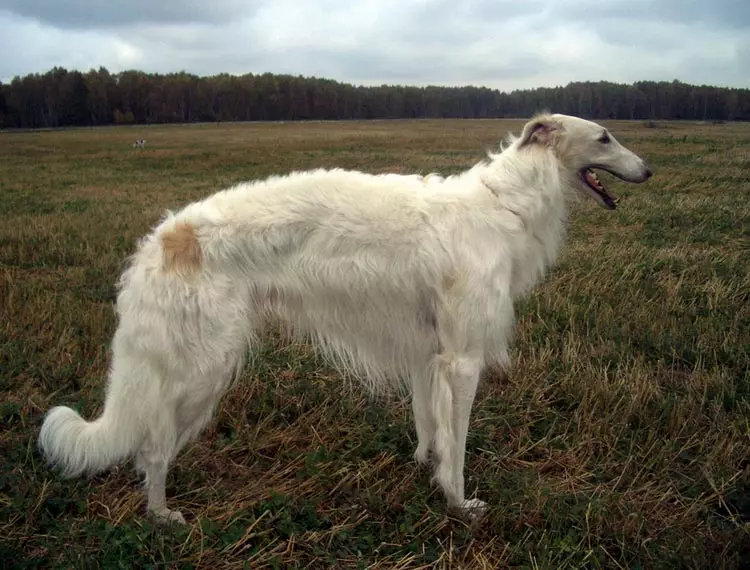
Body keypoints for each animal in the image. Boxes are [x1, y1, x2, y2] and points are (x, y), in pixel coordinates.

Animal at [39, 113, 652, 520]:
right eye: (605, 136)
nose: (648, 170)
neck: (503, 205)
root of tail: (163, 239)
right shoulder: (462, 359)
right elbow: (457, 444)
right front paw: (460, 503)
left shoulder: (427, 353)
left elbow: (428, 426)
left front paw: (423, 467)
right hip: (201, 369)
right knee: (152, 450)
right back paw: (163, 516)